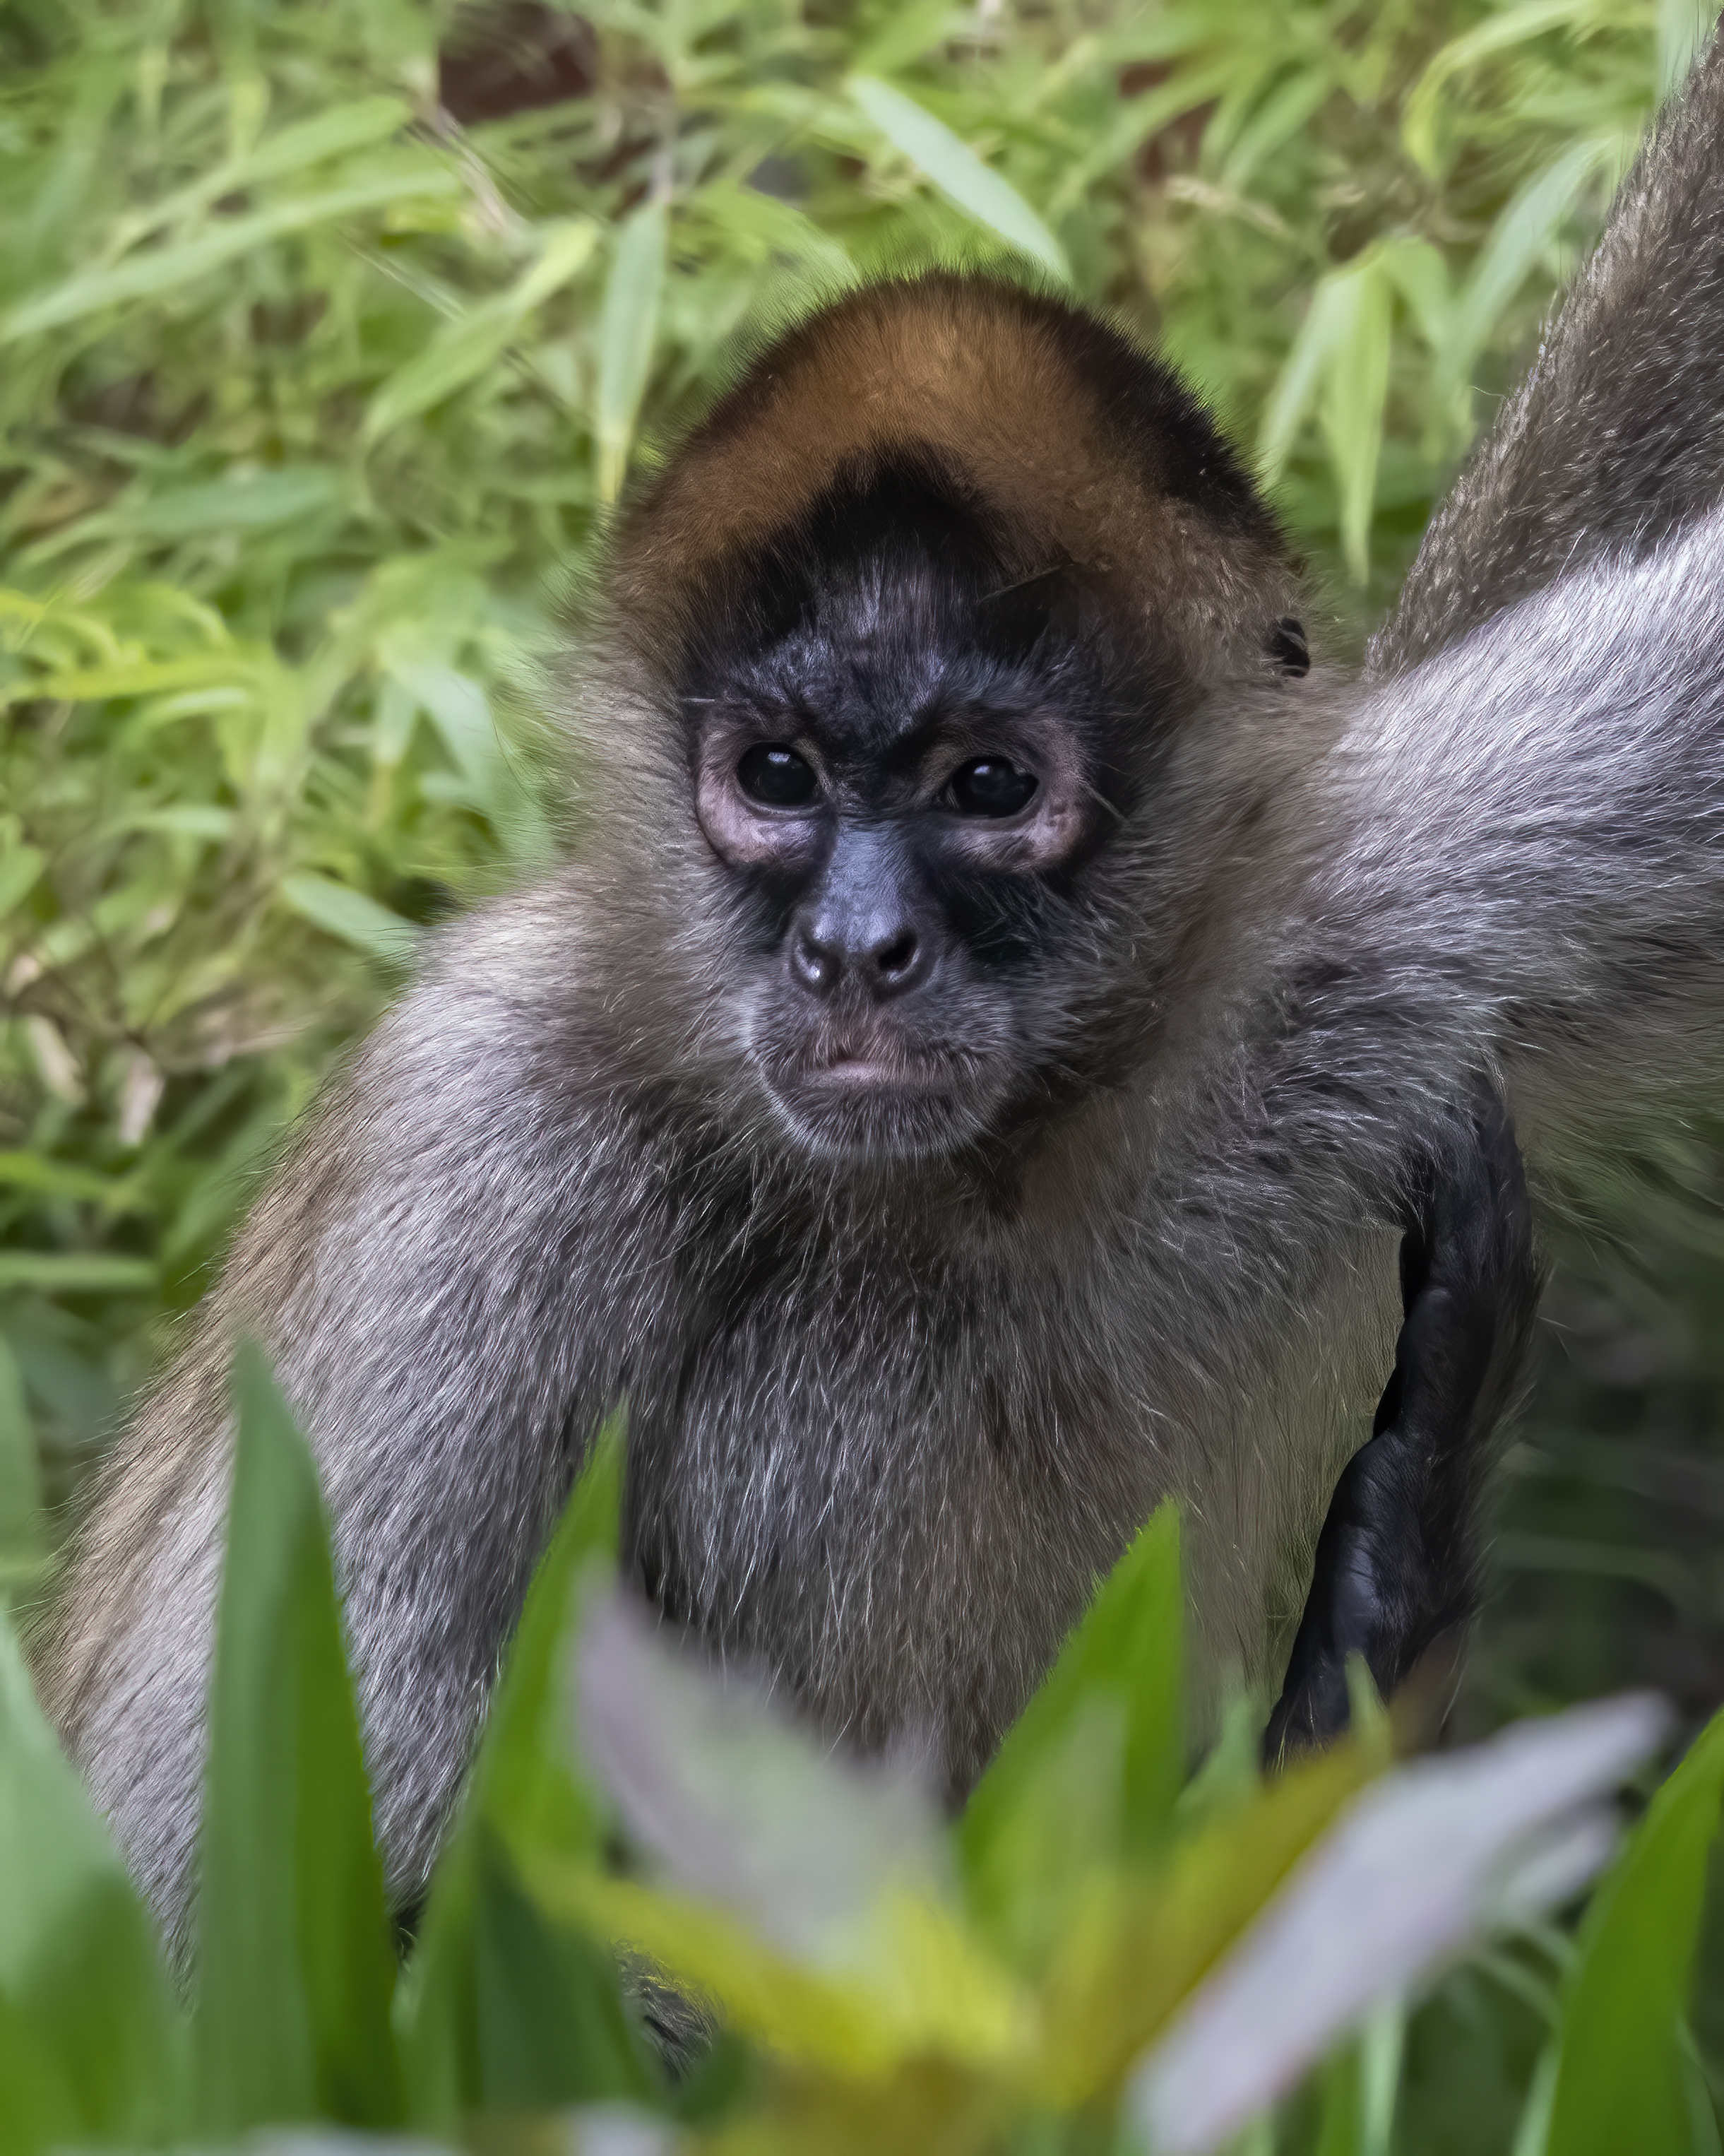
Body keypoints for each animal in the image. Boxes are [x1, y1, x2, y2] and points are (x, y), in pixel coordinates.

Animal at [32, 29, 1724, 1954]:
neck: (952, 1195)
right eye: (775, 775)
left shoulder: (1330, 934)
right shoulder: (485, 1121)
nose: (854, 949)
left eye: (985, 787)